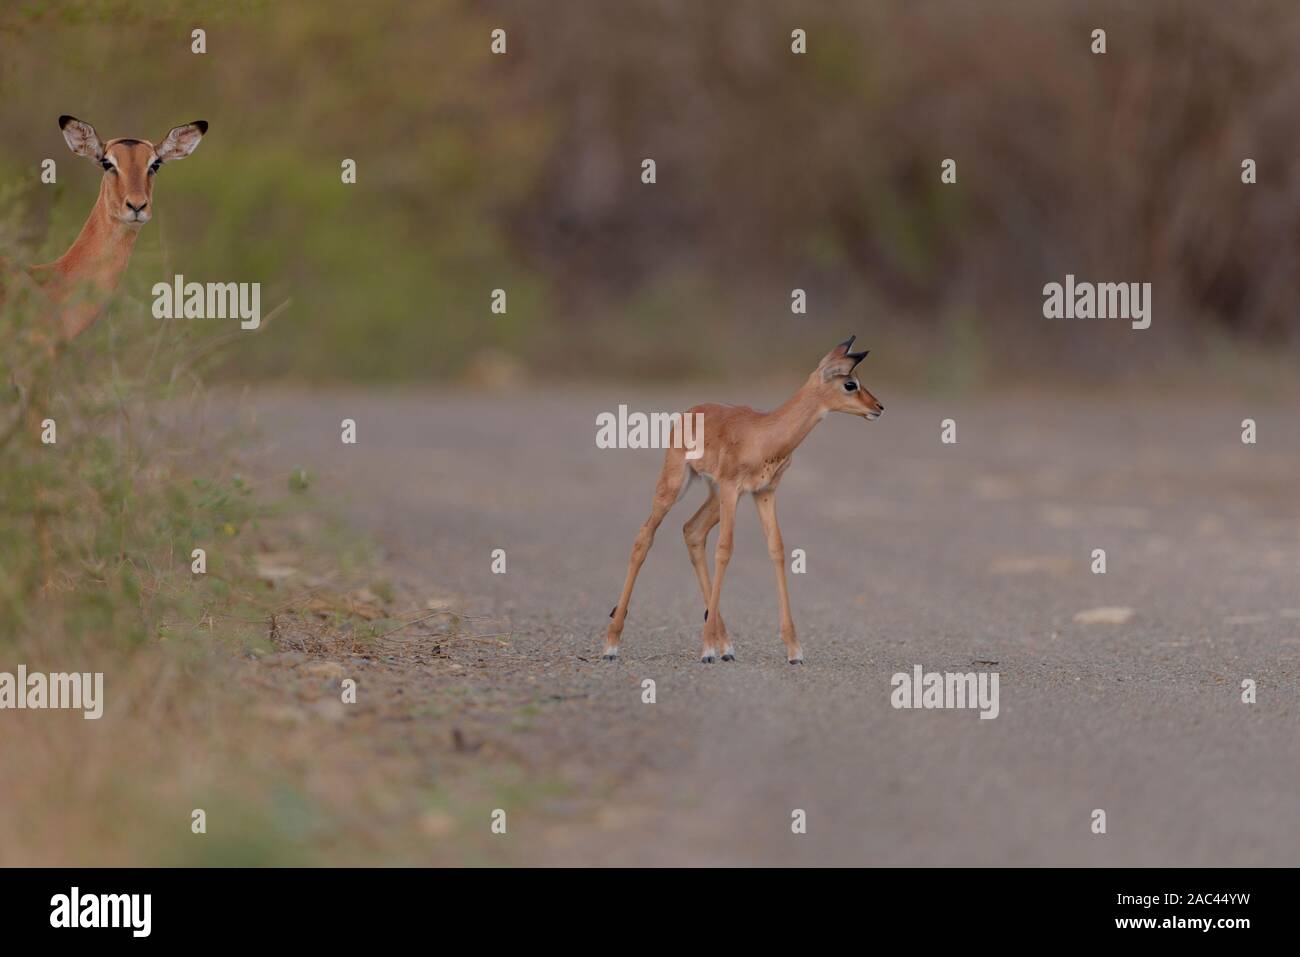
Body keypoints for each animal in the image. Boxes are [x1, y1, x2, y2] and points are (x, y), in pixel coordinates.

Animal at [602, 336, 884, 664]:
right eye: (850, 383)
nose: (878, 407)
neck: (763, 434)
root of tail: (690, 412)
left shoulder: (764, 493)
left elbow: (776, 549)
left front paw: (794, 650)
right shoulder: (732, 488)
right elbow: (725, 550)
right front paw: (706, 649)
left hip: (715, 497)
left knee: (692, 530)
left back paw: (726, 645)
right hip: (677, 486)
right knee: (644, 536)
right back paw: (611, 646)